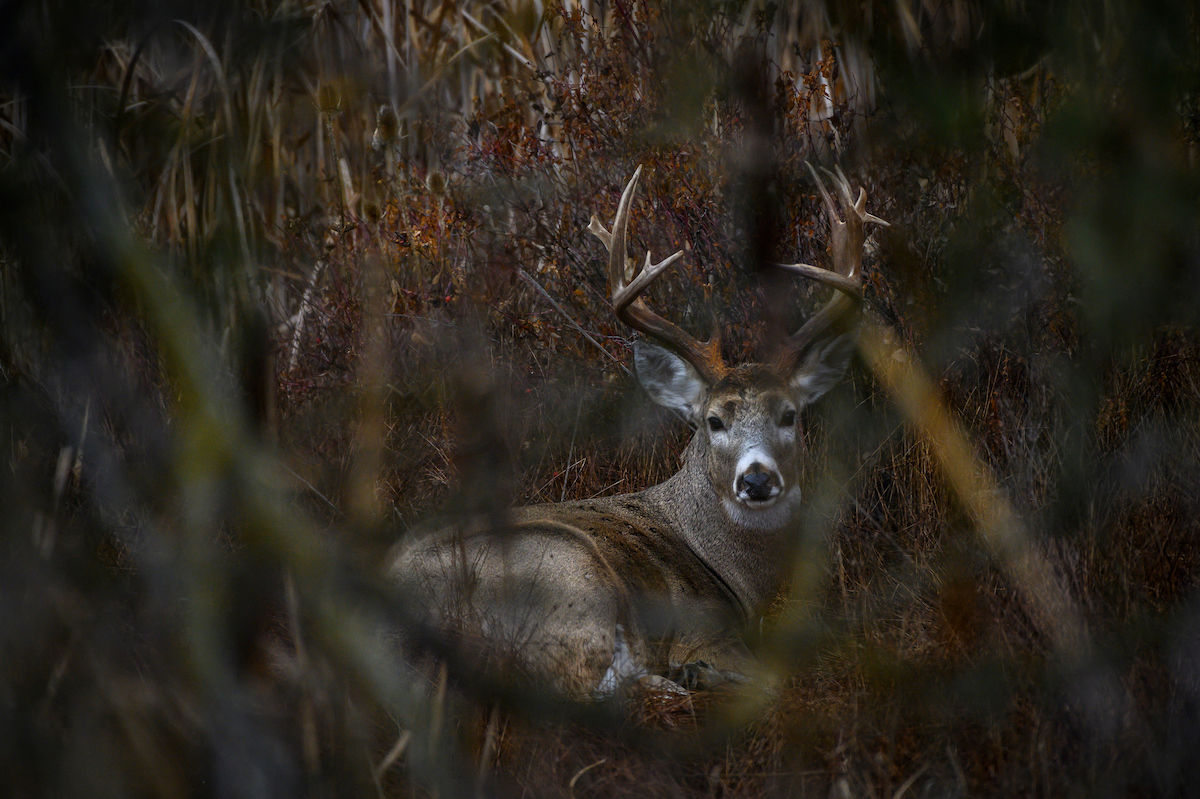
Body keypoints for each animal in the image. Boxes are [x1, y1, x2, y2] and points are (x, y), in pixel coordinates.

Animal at [388, 165, 886, 697]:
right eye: (714, 420)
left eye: (790, 415)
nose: (756, 480)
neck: (730, 566)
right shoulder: (701, 629)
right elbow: (771, 677)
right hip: (572, 579)